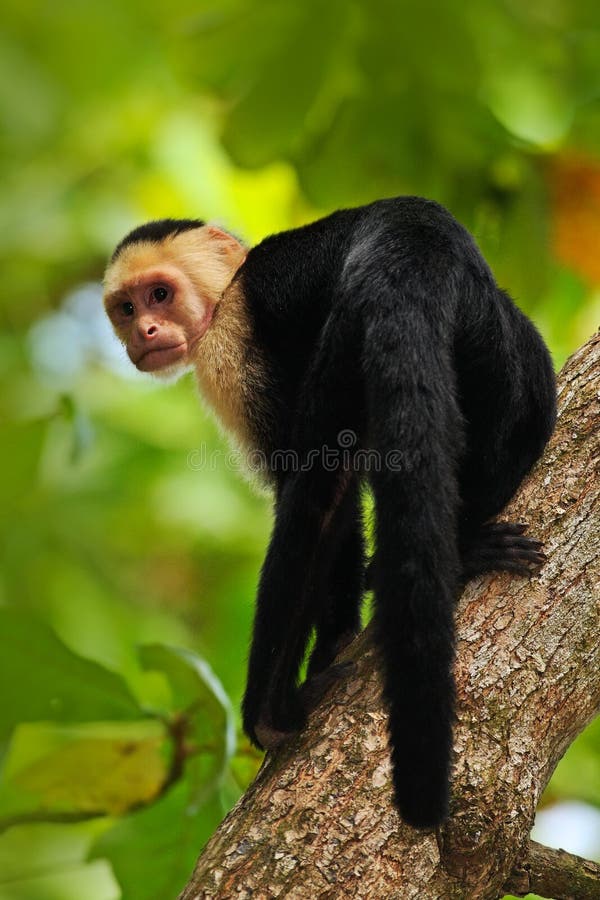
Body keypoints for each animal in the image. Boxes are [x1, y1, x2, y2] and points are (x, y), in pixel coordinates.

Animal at [103, 198, 556, 829]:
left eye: (160, 295)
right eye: (127, 308)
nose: (143, 331)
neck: (228, 288)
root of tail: (412, 240)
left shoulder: (234, 340)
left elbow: (320, 494)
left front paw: (274, 707)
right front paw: (335, 641)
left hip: (353, 324)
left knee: (317, 484)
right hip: (489, 341)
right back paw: (461, 544)